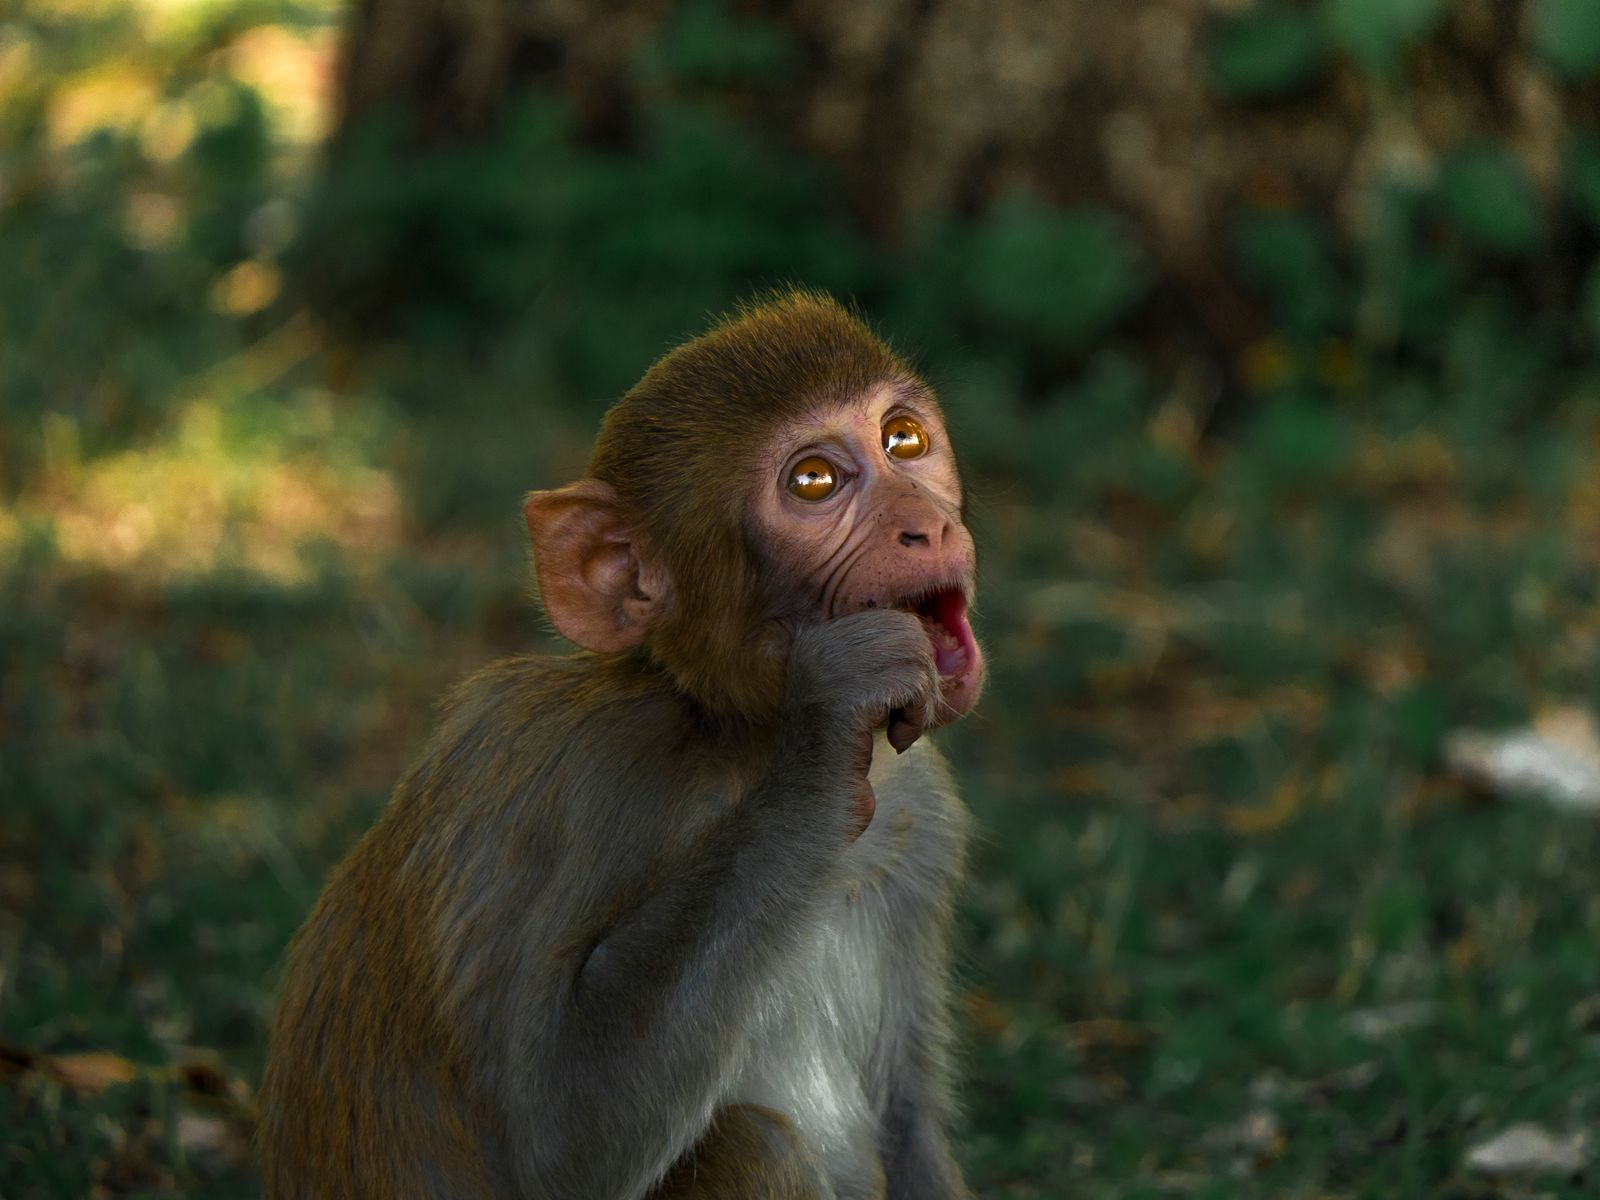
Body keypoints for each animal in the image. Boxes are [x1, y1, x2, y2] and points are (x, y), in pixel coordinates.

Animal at [258, 290, 987, 1200]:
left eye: (904, 441)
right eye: (813, 482)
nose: (926, 525)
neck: (740, 742)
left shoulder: (923, 813)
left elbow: (907, 1123)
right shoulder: (558, 777)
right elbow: (559, 1138)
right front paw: (827, 735)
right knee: (753, 1143)